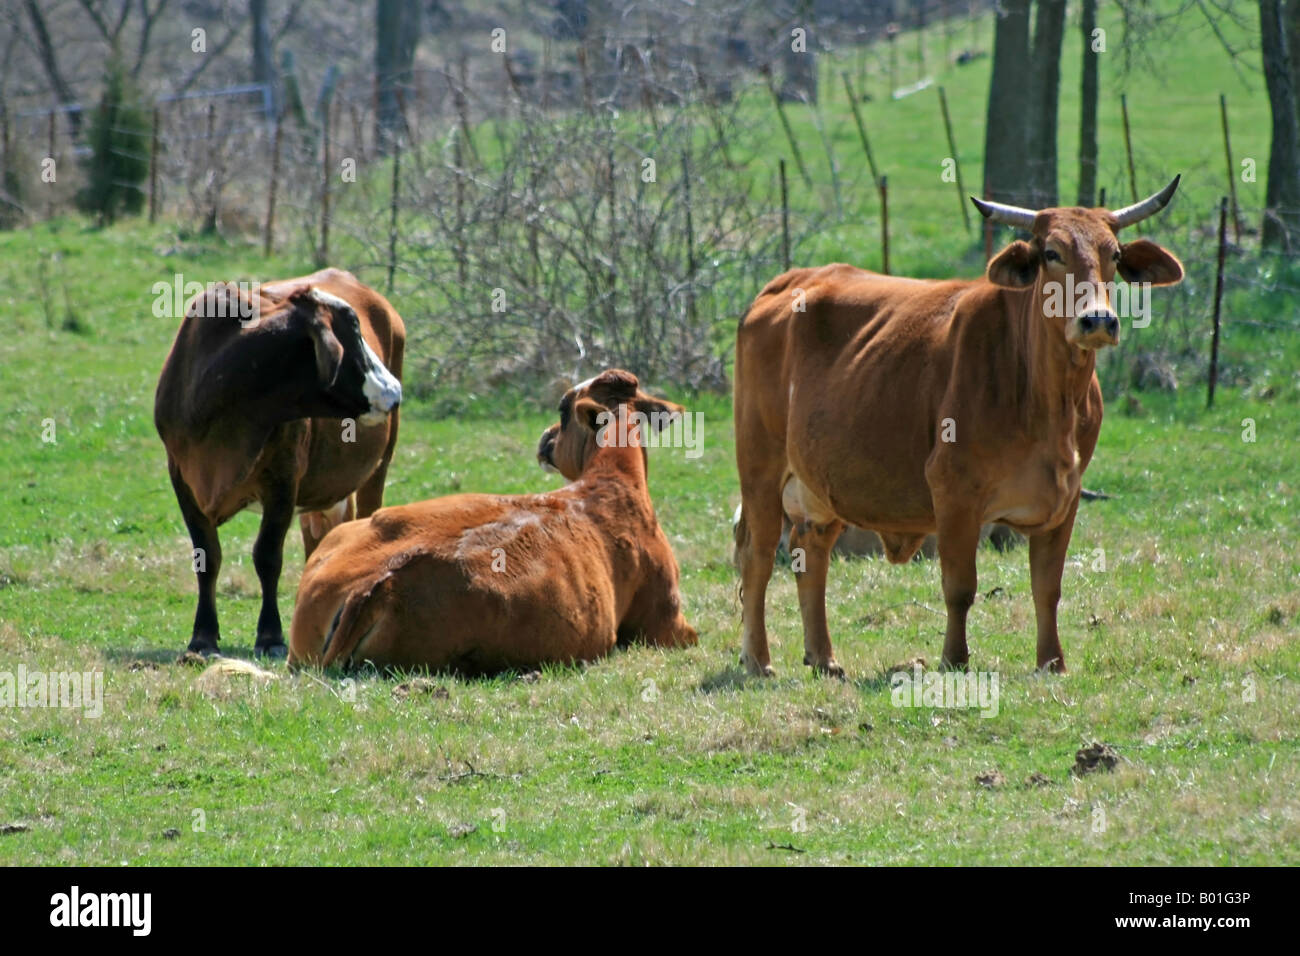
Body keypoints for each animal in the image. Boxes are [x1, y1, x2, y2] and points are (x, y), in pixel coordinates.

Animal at [155, 268, 404, 659]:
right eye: (352, 328)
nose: (393, 391)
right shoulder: (182, 479)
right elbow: (206, 556)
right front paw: (203, 635)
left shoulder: (283, 481)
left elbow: (267, 556)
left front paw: (270, 635)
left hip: (377, 467)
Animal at [732, 179, 1185, 677]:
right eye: (1052, 252)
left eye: (1115, 255)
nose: (1098, 320)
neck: (1050, 402)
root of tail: (790, 280)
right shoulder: (953, 491)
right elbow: (960, 587)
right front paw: (954, 658)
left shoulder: (1065, 498)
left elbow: (1048, 588)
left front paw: (1052, 661)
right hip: (760, 468)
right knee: (757, 556)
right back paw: (757, 658)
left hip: (822, 485)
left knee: (809, 552)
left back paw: (823, 656)